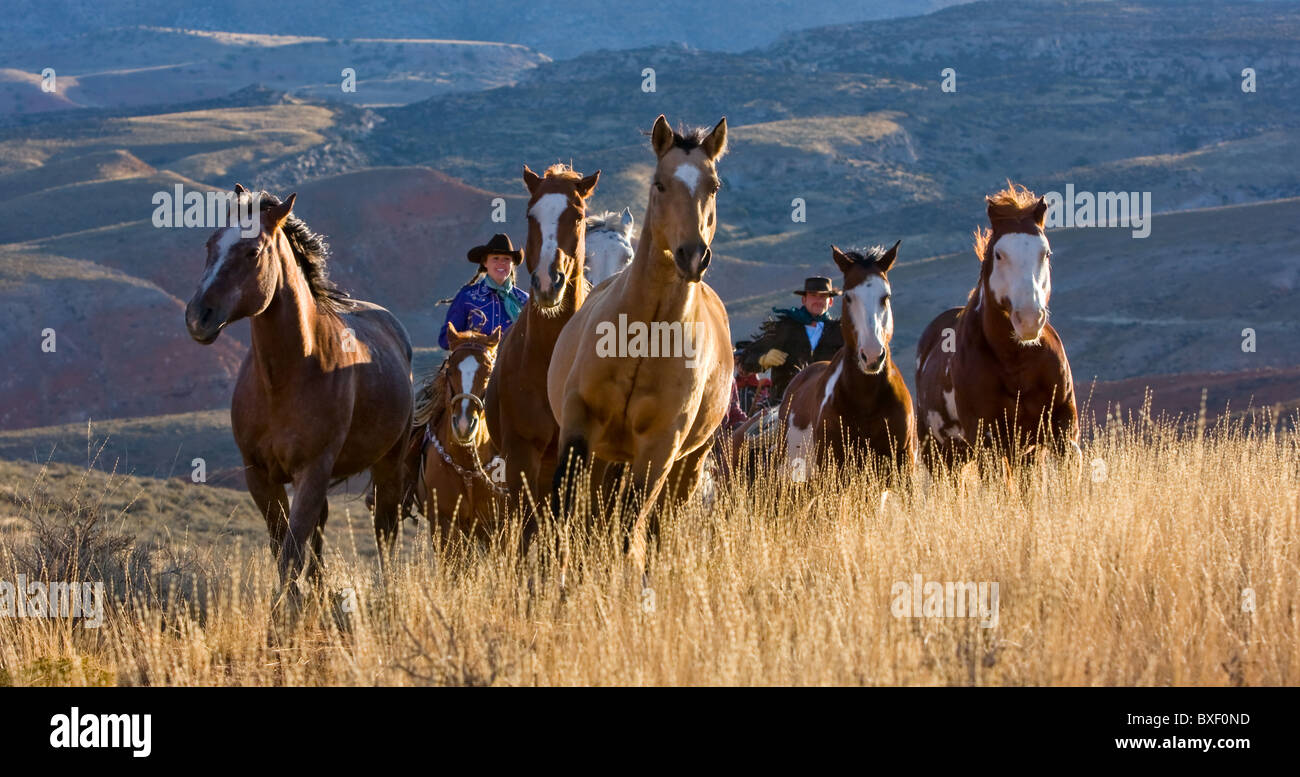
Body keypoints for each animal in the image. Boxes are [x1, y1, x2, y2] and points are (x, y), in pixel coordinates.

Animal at [185, 185, 413, 614]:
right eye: (209, 244)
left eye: (252, 252)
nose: (197, 317)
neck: (285, 378)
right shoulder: (259, 474)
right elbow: (282, 547)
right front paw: (296, 605)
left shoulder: (313, 469)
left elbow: (292, 550)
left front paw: (287, 615)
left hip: (389, 461)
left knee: (386, 530)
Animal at [413, 323, 504, 545]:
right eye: (450, 371)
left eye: (489, 373)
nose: (464, 424)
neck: (468, 467)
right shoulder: (445, 523)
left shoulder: (498, 526)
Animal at [548, 115, 732, 573]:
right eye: (660, 183)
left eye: (713, 185)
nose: (692, 256)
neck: (643, 339)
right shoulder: (579, 426)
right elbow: (562, 512)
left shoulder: (660, 448)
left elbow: (629, 532)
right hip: (604, 456)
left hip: (683, 465)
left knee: (651, 528)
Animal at [914, 182, 1079, 472]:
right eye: (999, 255)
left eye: (1046, 253)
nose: (1029, 318)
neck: (1016, 364)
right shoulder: (987, 439)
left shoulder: (1062, 427)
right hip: (940, 454)